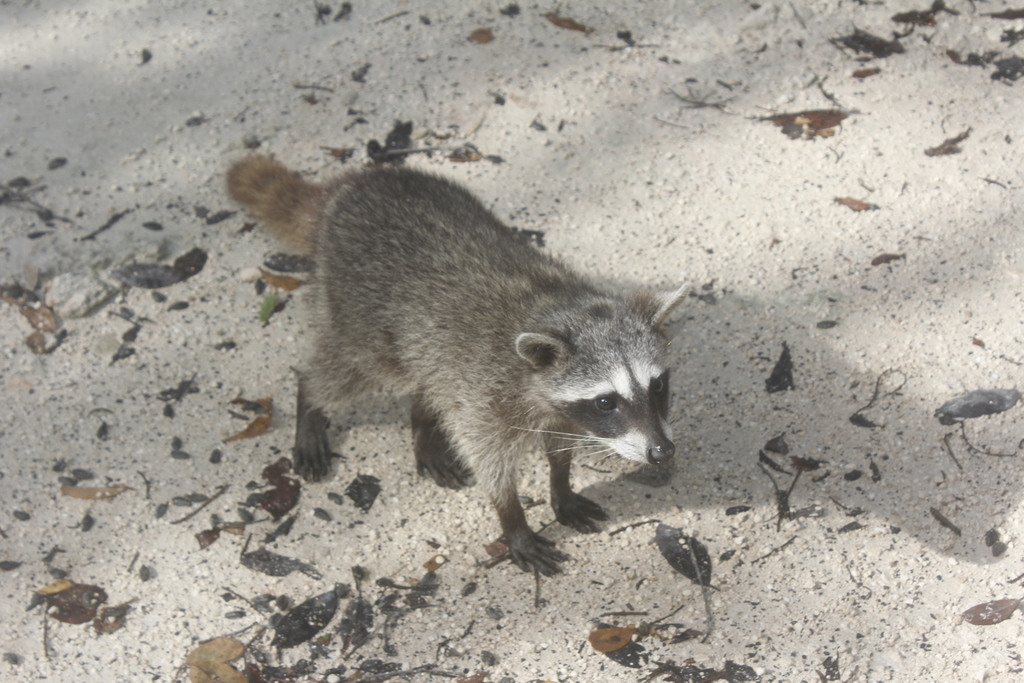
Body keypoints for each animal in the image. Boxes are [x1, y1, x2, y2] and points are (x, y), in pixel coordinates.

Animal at [226, 155, 687, 575]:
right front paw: (513, 521)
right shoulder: (488, 393)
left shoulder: (552, 405)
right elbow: (488, 462)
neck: (558, 308)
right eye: (608, 401)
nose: (662, 452)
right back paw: (310, 403)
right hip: (360, 313)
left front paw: (561, 485)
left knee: (427, 377)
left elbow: (559, 446)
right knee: (344, 371)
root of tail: (346, 188)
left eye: (657, 386)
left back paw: (422, 423)